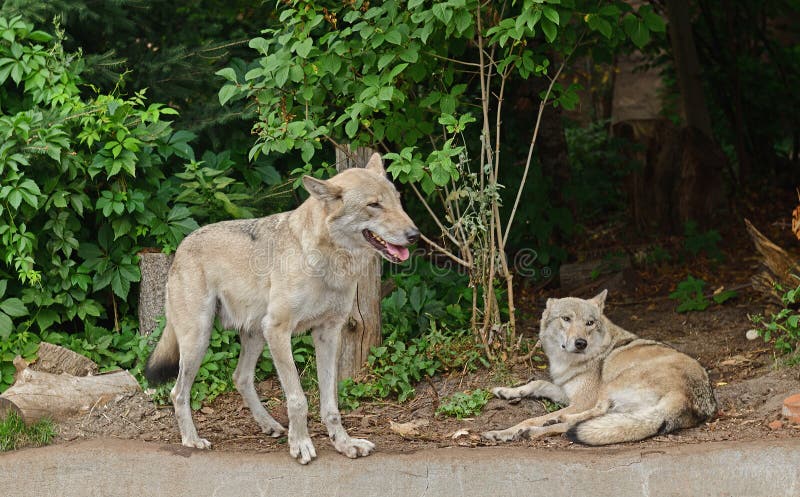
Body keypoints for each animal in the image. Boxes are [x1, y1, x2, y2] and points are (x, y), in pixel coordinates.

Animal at [144, 153, 419, 464]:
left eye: (397, 200)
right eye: (374, 205)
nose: (415, 234)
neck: (328, 264)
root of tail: (181, 246)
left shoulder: (329, 334)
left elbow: (331, 404)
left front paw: (345, 444)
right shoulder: (279, 330)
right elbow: (298, 399)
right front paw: (300, 445)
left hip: (254, 336)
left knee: (240, 378)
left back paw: (269, 425)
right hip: (200, 340)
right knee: (178, 392)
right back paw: (192, 439)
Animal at [483, 290, 717, 445]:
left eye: (590, 323)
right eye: (566, 319)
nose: (580, 343)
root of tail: (687, 398)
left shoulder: (581, 401)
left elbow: (530, 415)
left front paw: (504, 430)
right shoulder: (567, 393)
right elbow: (537, 383)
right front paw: (505, 392)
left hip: (612, 384)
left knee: (587, 414)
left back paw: (549, 421)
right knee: (579, 425)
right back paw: (532, 431)